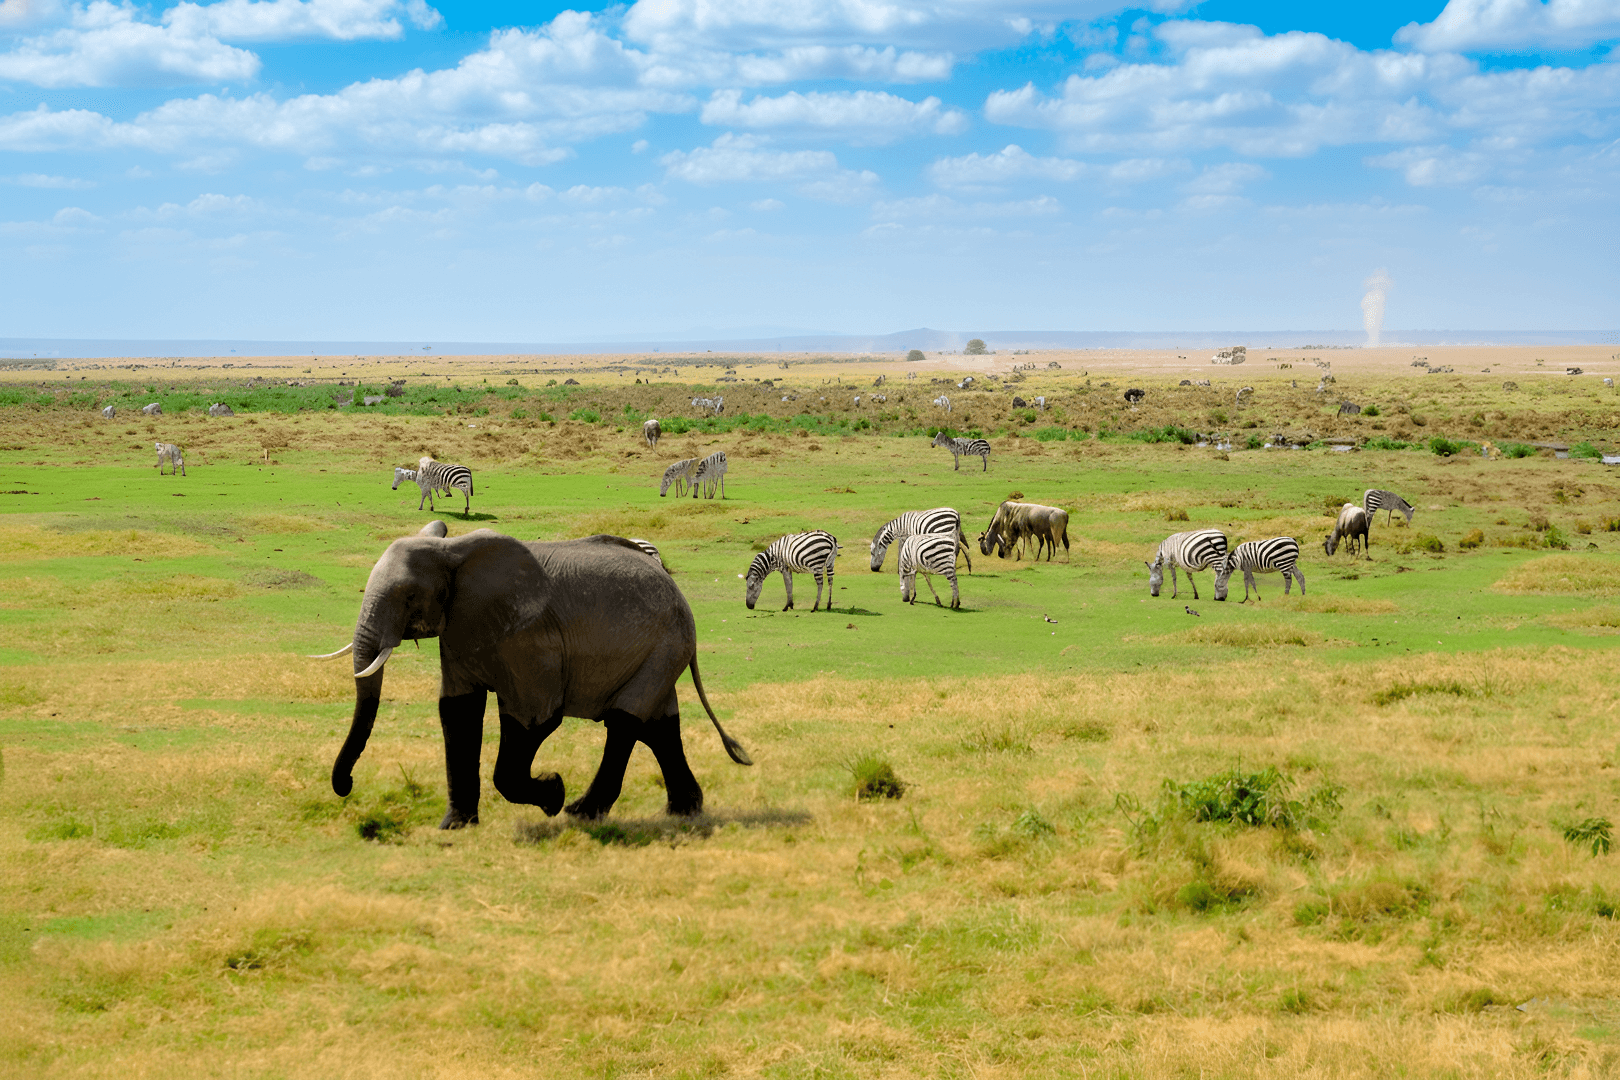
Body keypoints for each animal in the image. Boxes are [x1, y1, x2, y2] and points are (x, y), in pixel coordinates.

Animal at [311, 530, 751, 828]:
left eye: (407, 597)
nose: (347, 785)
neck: (453, 552)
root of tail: (676, 589)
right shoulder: (459, 631)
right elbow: (457, 712)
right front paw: (454, 826)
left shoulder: (532, 640)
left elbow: (534, 719)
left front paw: (553, 793)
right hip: (661, 649)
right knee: (658, 725)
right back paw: (684, 811)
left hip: (666, 643)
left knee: (625, 721)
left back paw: (580, 813)